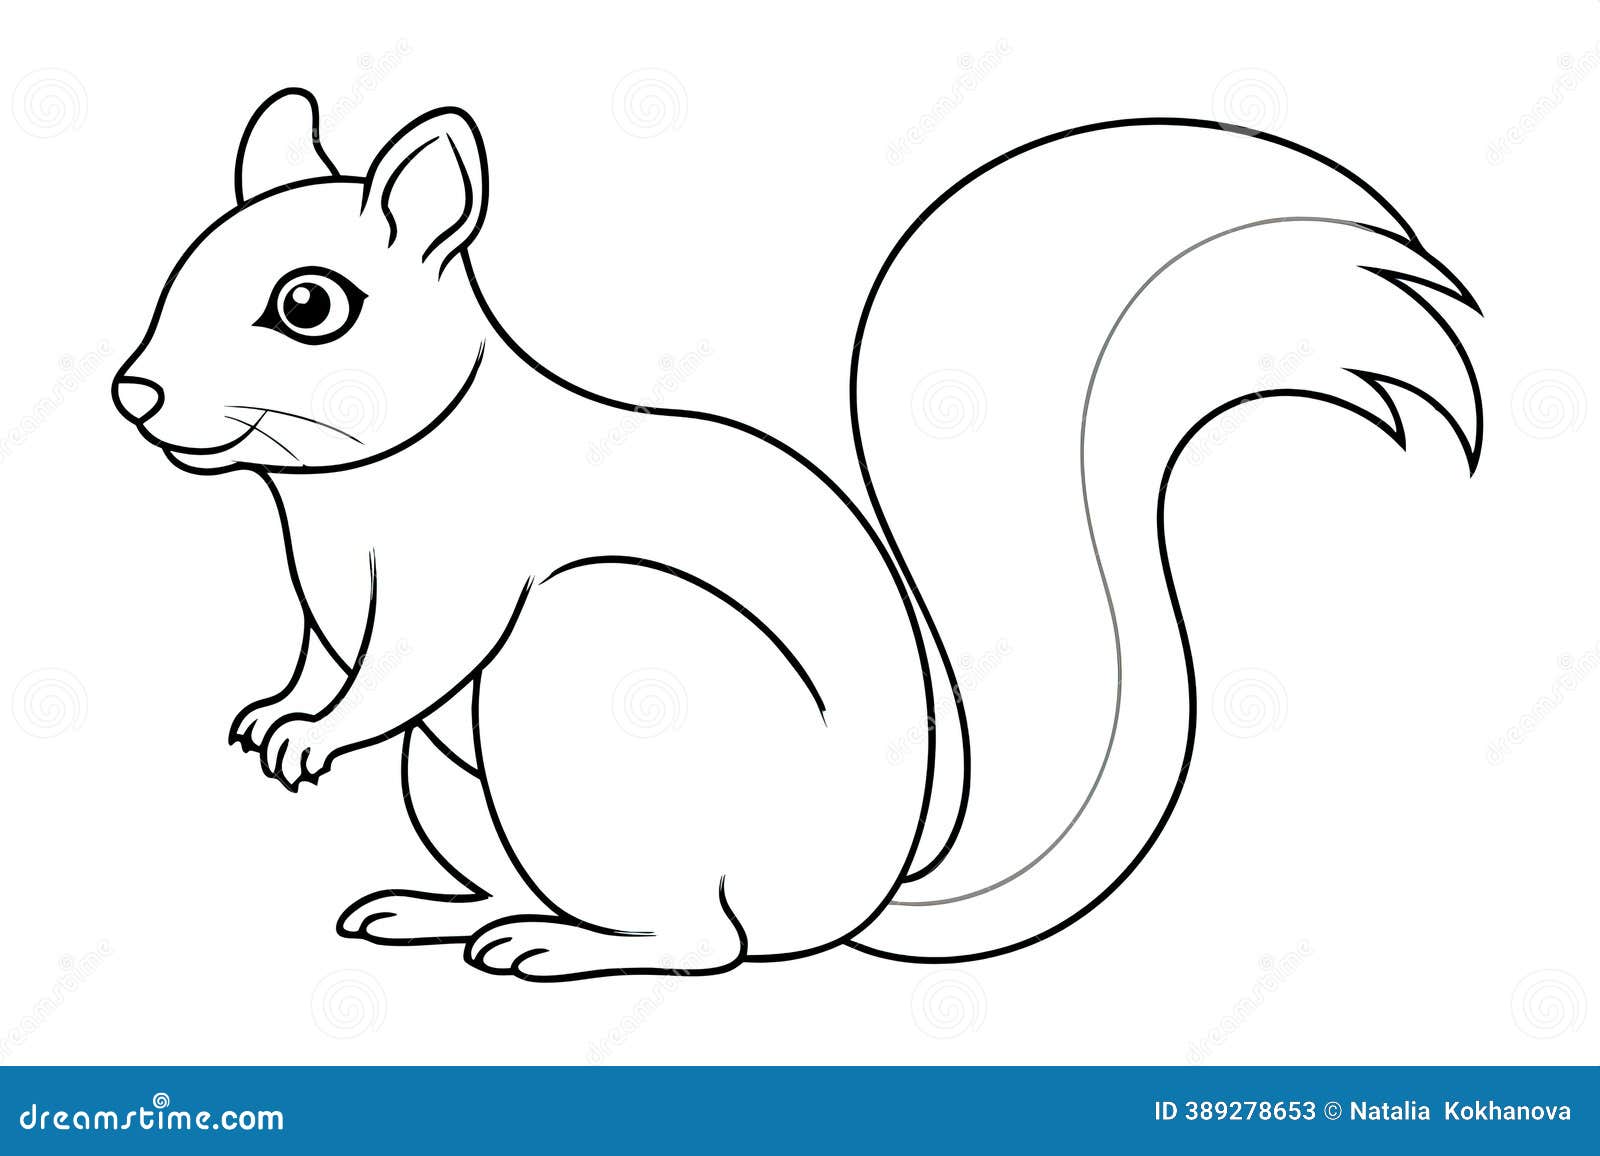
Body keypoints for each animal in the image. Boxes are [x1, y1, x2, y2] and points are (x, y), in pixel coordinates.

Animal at [112, 89, 1480, 981]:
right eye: (182, 267)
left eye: (309, 305)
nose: (134, 393)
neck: (342, 488)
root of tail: (849, 904)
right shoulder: (324, 594)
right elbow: (317, 651)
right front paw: (276, 707)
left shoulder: (466, 576)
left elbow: (408, 664)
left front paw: (311, 732)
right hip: (455, 787)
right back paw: (444, 910)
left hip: (588, 663)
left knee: (706, 942)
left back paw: (558, 945)